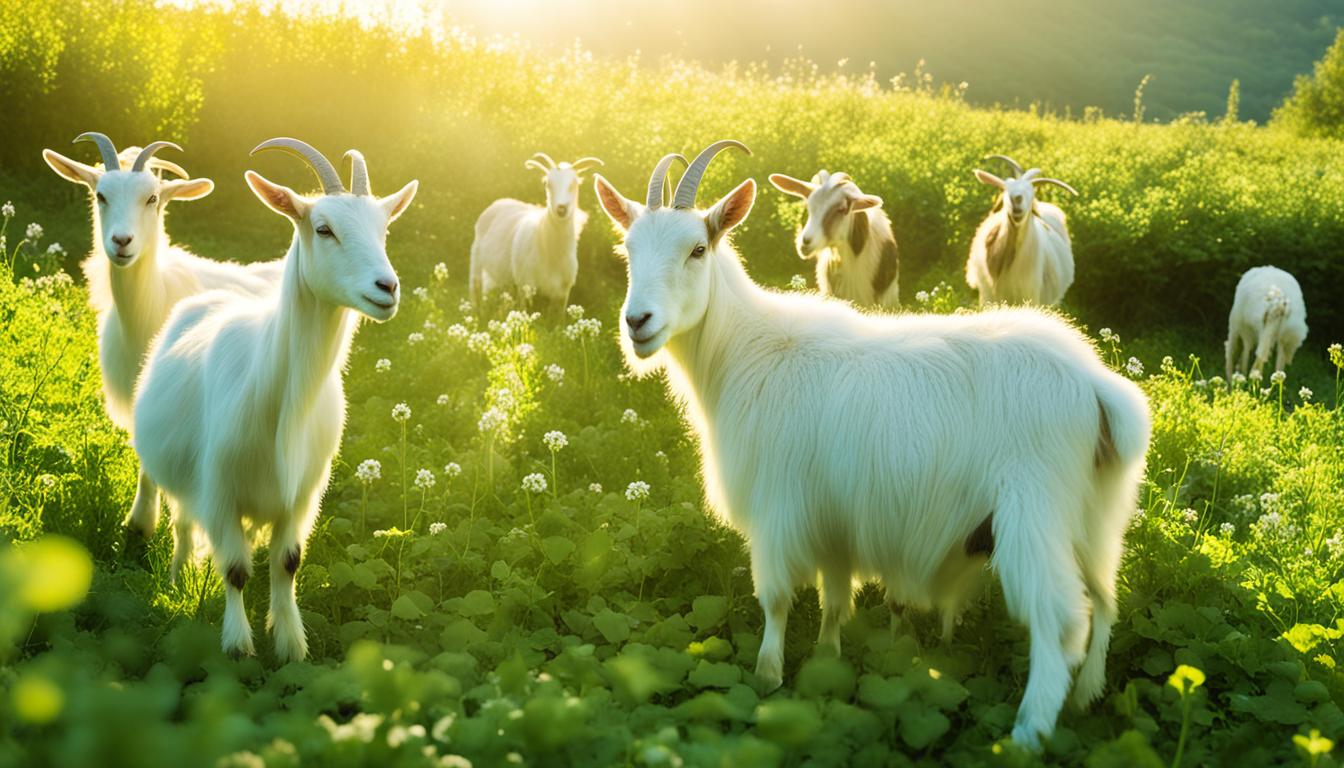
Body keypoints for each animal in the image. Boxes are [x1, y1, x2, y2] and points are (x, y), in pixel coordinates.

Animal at [43, 132, 282, 546]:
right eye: (100, 195)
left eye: (152, 198)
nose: (122, 241)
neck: (148, 307)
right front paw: (140, 523)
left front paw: (147, 522)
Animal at [133, 139, 417, 660]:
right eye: (323, 229)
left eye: (384, 229)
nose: (387, 288)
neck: (283, 400)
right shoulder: (219, 487)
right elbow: (236, 569)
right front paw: (237, 646)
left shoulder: (302, 494)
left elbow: (286, 563)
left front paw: (289, 643)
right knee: (183, 525)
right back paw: (178, 579)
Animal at [469, 153, 603, 313]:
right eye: (547, 183)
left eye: (574, 184)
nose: (561, 209)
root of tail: (500, 201)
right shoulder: (526, 286)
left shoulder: (562, 293)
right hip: (477, 265)